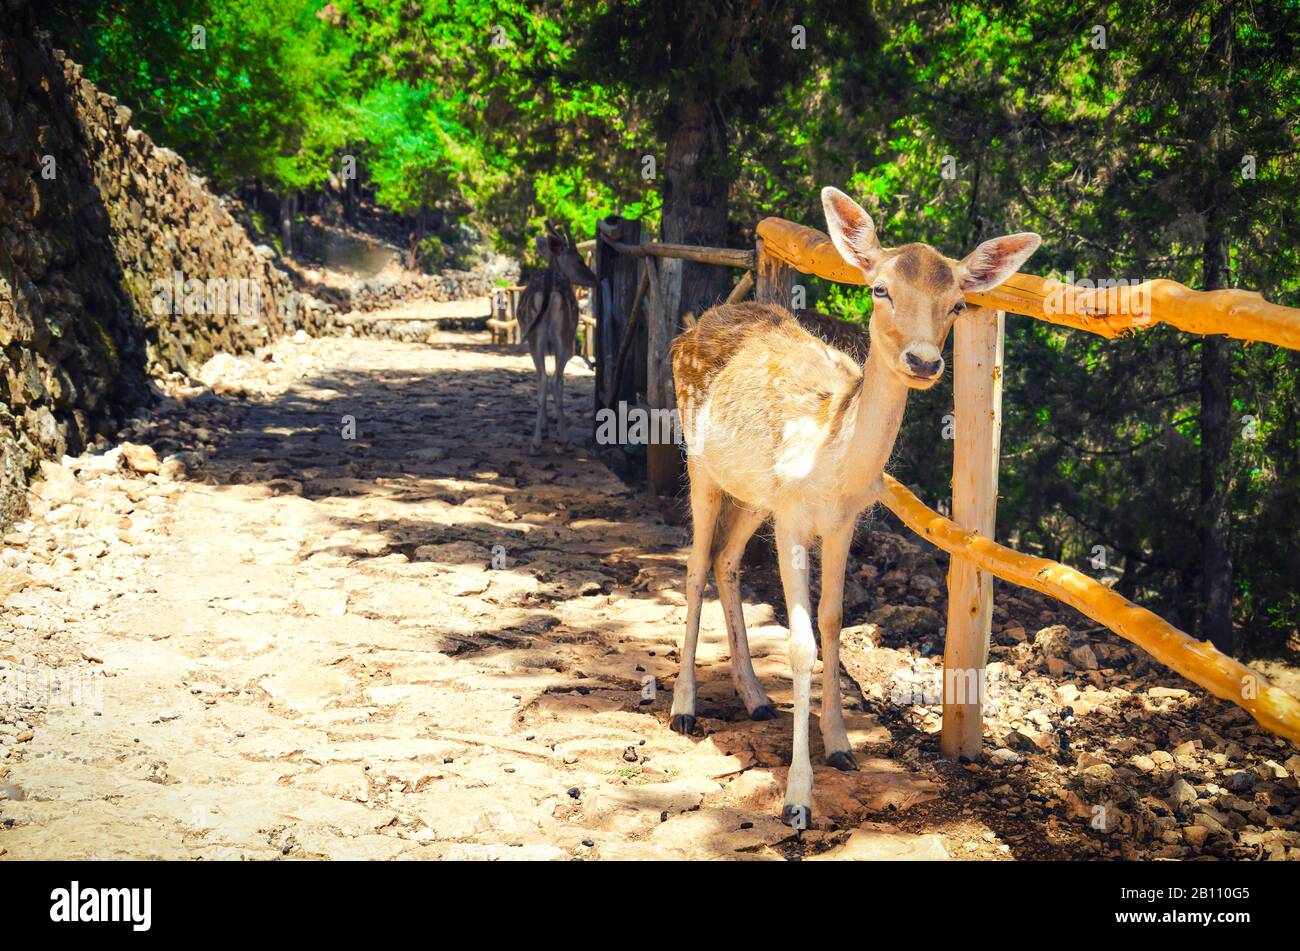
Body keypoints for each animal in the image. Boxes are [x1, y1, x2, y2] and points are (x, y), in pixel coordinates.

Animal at [517, 220, 597, 453]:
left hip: (534, 336)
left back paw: (536, 442)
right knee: (555, 380)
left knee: (543, 378)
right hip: (565, 336)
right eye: (580, 259)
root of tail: (548, 289)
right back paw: (565, 439)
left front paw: (544, 428)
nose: (595, 279)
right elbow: (559, 382)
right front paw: (556, 433)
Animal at [670, 187, 1041, 828]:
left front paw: (841, 746)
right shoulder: (794, 518)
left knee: (726, 559)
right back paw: (684, 706)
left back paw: (755, 697)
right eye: (880, 288)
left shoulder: (840, 523)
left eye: (957, 304)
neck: (834, 465)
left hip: (753, 494)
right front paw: (797, 798)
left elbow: (833, 621)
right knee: (694, 569)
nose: (924, 361)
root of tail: (691, 328)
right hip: (700, 463)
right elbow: (799, 642)